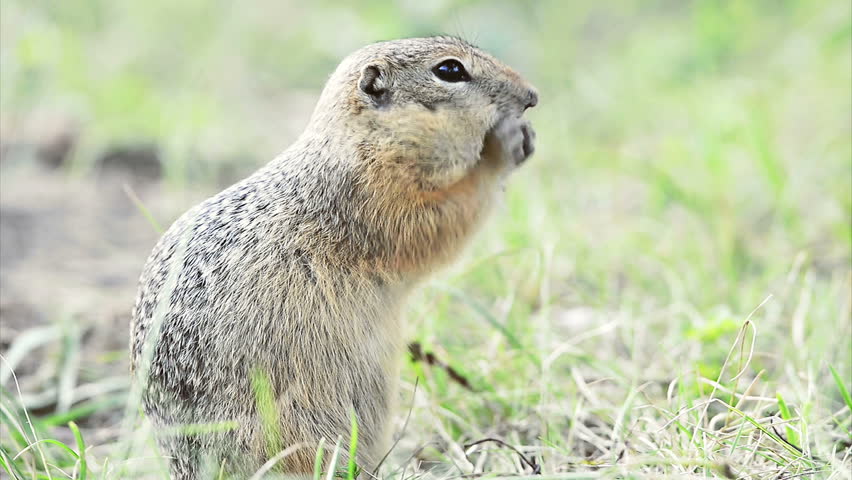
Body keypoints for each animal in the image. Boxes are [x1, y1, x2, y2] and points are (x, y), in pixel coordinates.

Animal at [130, 36, 537, 479]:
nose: (532, 96)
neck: (361, 139)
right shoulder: (374, 195)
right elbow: (440, 220)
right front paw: (502, 147)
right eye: (449, 70)